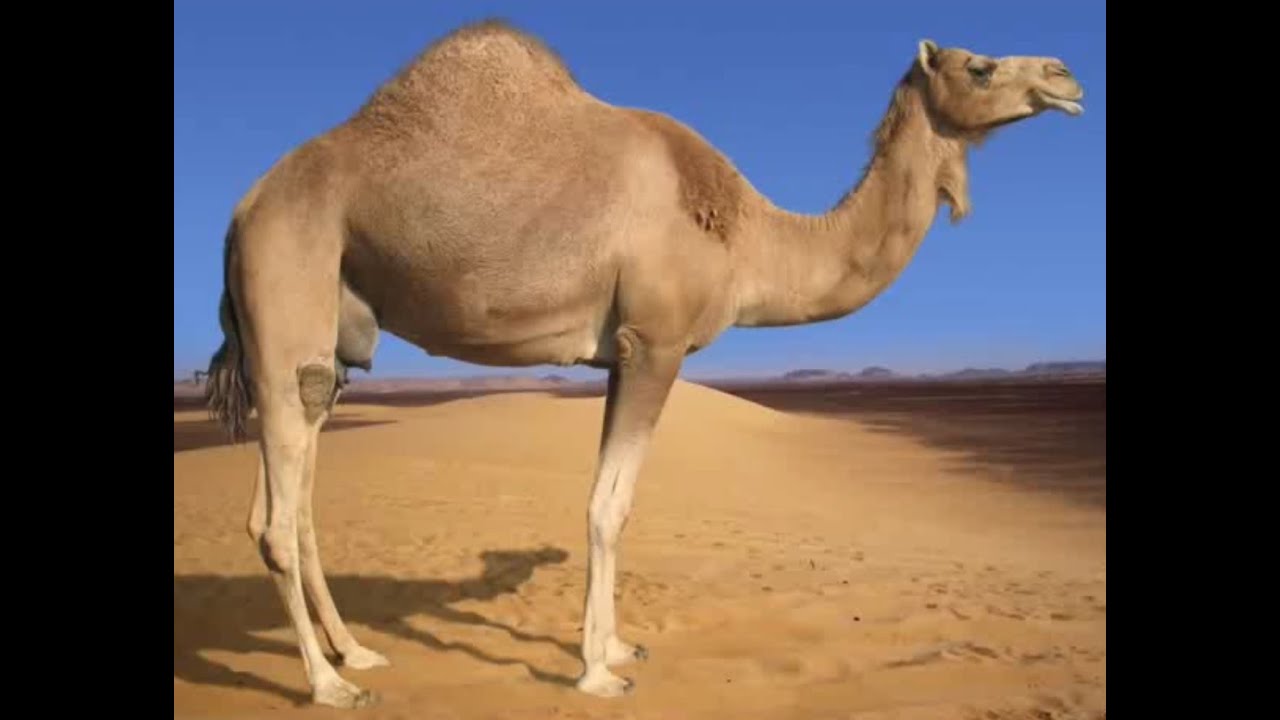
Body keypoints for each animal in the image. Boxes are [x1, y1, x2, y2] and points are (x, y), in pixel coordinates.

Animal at [203, 19, 1085, 708]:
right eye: (980, 65)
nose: (1065, 76)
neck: (751, 235)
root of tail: (241, 211)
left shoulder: (619, 355)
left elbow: (614, 502)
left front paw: (618, 647)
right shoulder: (654, 342)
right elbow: (608, 507)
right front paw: (598, 672)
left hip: (332, 339)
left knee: (296, 499)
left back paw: (356, 650)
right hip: (288, 288)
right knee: (275, 517)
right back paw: (329, 684)